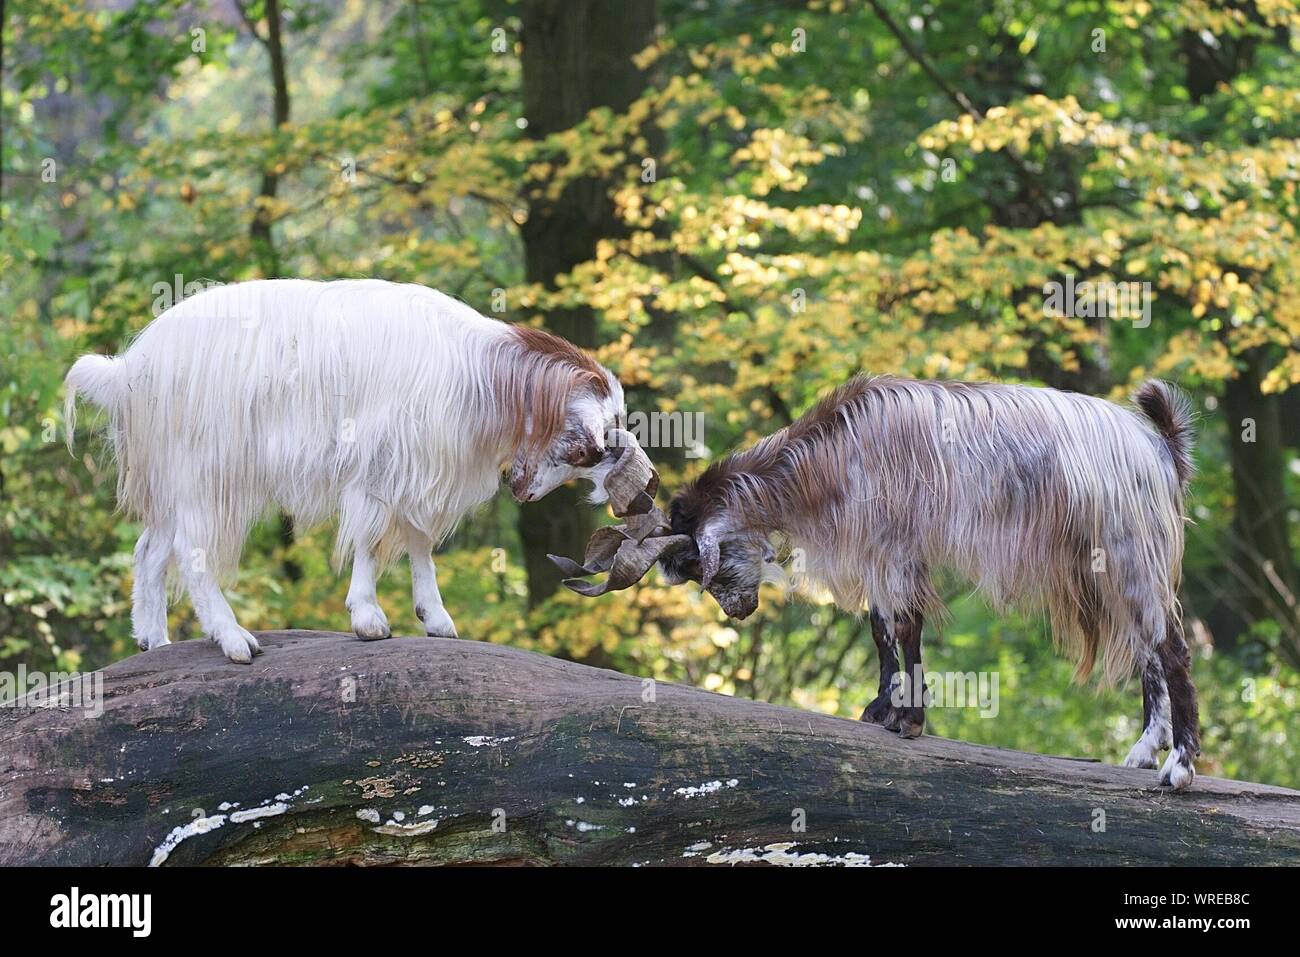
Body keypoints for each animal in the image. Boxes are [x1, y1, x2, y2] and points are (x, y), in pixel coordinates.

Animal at [65, 279, 637, 663]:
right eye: (593, 445)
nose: (523, 493)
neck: (478, 376)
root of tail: (130, 370)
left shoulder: (414, 469)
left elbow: (417, 540)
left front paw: (435, 618)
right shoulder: (378, 462)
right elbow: (368, 538)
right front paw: (367, 617)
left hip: (171, 476)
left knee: (150, 549)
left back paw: (154, 642)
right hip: (206, 469)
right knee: (191, 549)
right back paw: (232, 639)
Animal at [659, 375, 1200, 789]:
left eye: (704, 568)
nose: (738, 611)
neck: (833, 453)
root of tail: (1160, 448)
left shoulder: (896, 545)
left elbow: (906, 628)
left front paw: (912, 720)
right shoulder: (882, 552)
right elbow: (882, 632)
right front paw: (882, 709)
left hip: (1130, 552)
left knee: (1171, 649)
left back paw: (1179, 767)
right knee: (1148, 649)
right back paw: (1145, 750)